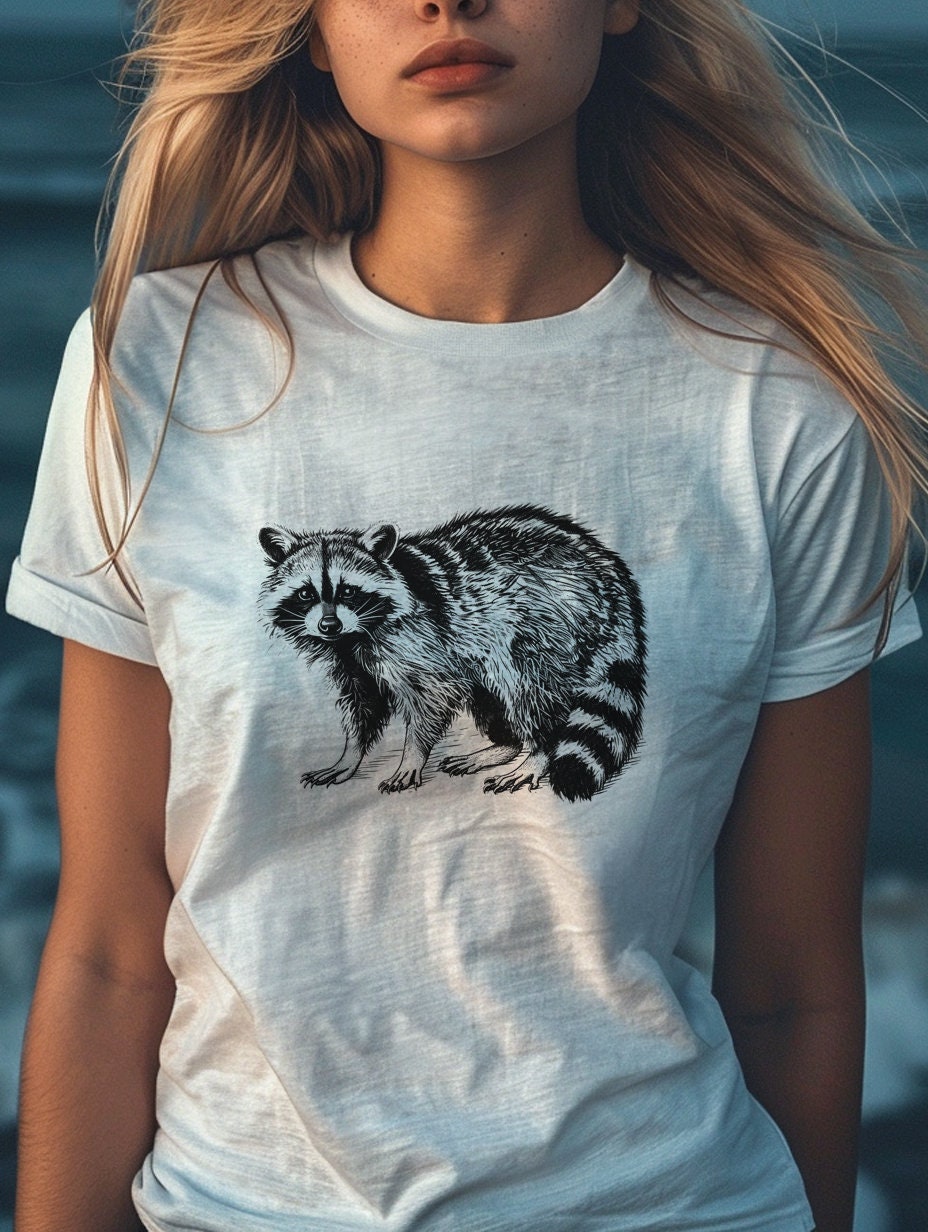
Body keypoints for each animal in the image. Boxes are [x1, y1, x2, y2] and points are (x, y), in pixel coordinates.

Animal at [258, 505, 646, 802]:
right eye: (306, 593)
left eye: (349, 591)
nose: (329, 625)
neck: (354, 635)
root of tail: (606, 568)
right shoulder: (353, 663)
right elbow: (362, 707)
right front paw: (349, 755)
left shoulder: (419, 642)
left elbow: (431, 697)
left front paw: (412, 757)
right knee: (491, 695)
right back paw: (504, 746)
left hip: (545, 625)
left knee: (528, 688)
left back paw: (537, 752)